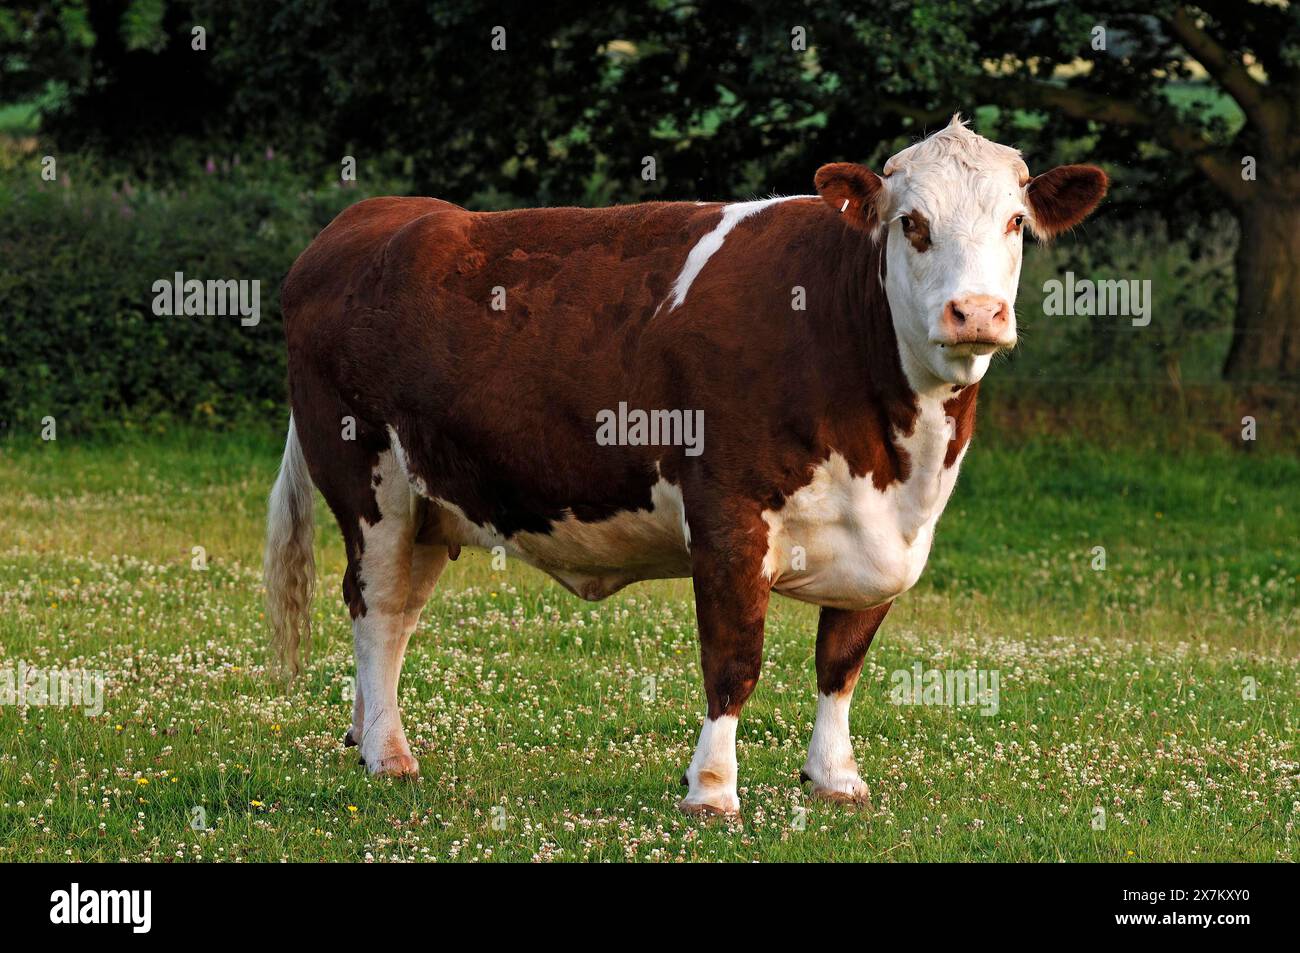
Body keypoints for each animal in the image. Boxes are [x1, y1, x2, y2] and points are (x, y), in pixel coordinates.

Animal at [264, 115, 1106, 815]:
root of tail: (369, 218)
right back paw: (388, 752)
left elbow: (840, 662)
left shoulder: (887, 540)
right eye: (913, 223)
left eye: (1015, 222)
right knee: (373, 604)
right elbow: (733, 661)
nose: (977, 313)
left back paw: (365, 732)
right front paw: (711, 789)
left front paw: (835, 777)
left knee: (398, 614)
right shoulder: (728, 517)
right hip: (366, 477)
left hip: (433, 503)